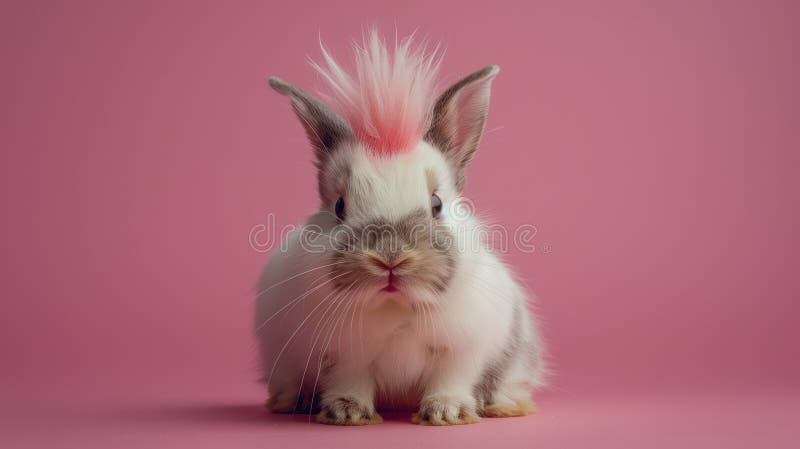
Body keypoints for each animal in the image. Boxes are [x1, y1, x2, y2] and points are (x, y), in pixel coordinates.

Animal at [255, 30, 545, 426]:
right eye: (339, 206)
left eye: (437, 205)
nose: (390, 258)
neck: (397, 310)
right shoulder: (343, 355)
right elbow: (350, 380)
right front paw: (347, 412)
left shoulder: (462, 349)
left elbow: (451, 378)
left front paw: (447, 412)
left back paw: (504, 406)